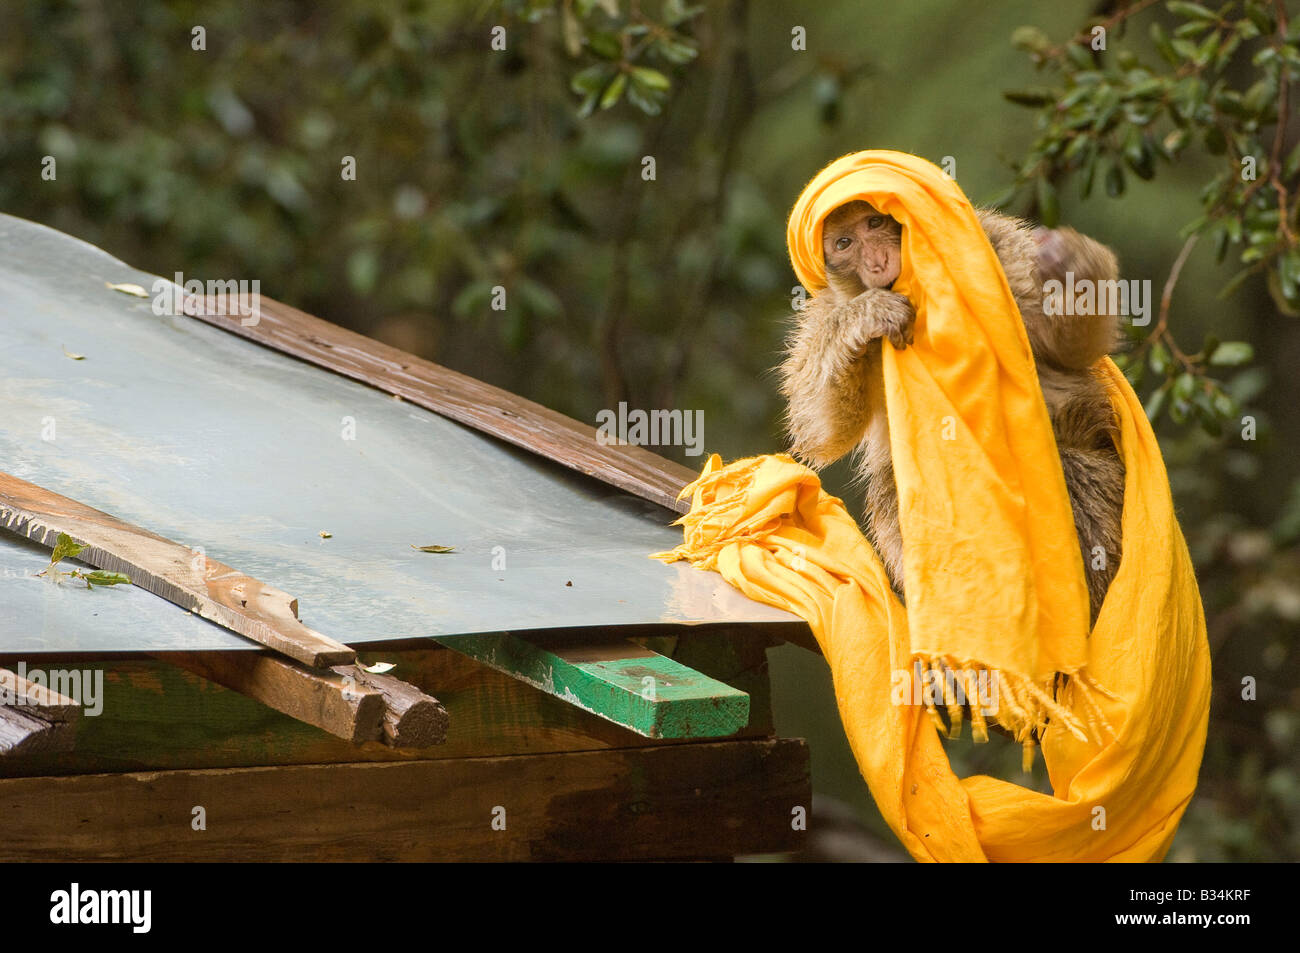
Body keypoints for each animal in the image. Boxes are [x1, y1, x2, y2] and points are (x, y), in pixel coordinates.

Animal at [780, 201, 1125, 624]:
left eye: (874, 222)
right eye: (844, 243)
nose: (877, 262)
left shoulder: (999, 249)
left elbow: (1070, 350)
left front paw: (1074, 263)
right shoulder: (828, 307)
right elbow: (821, 430)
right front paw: (867, 314)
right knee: (897, 485)